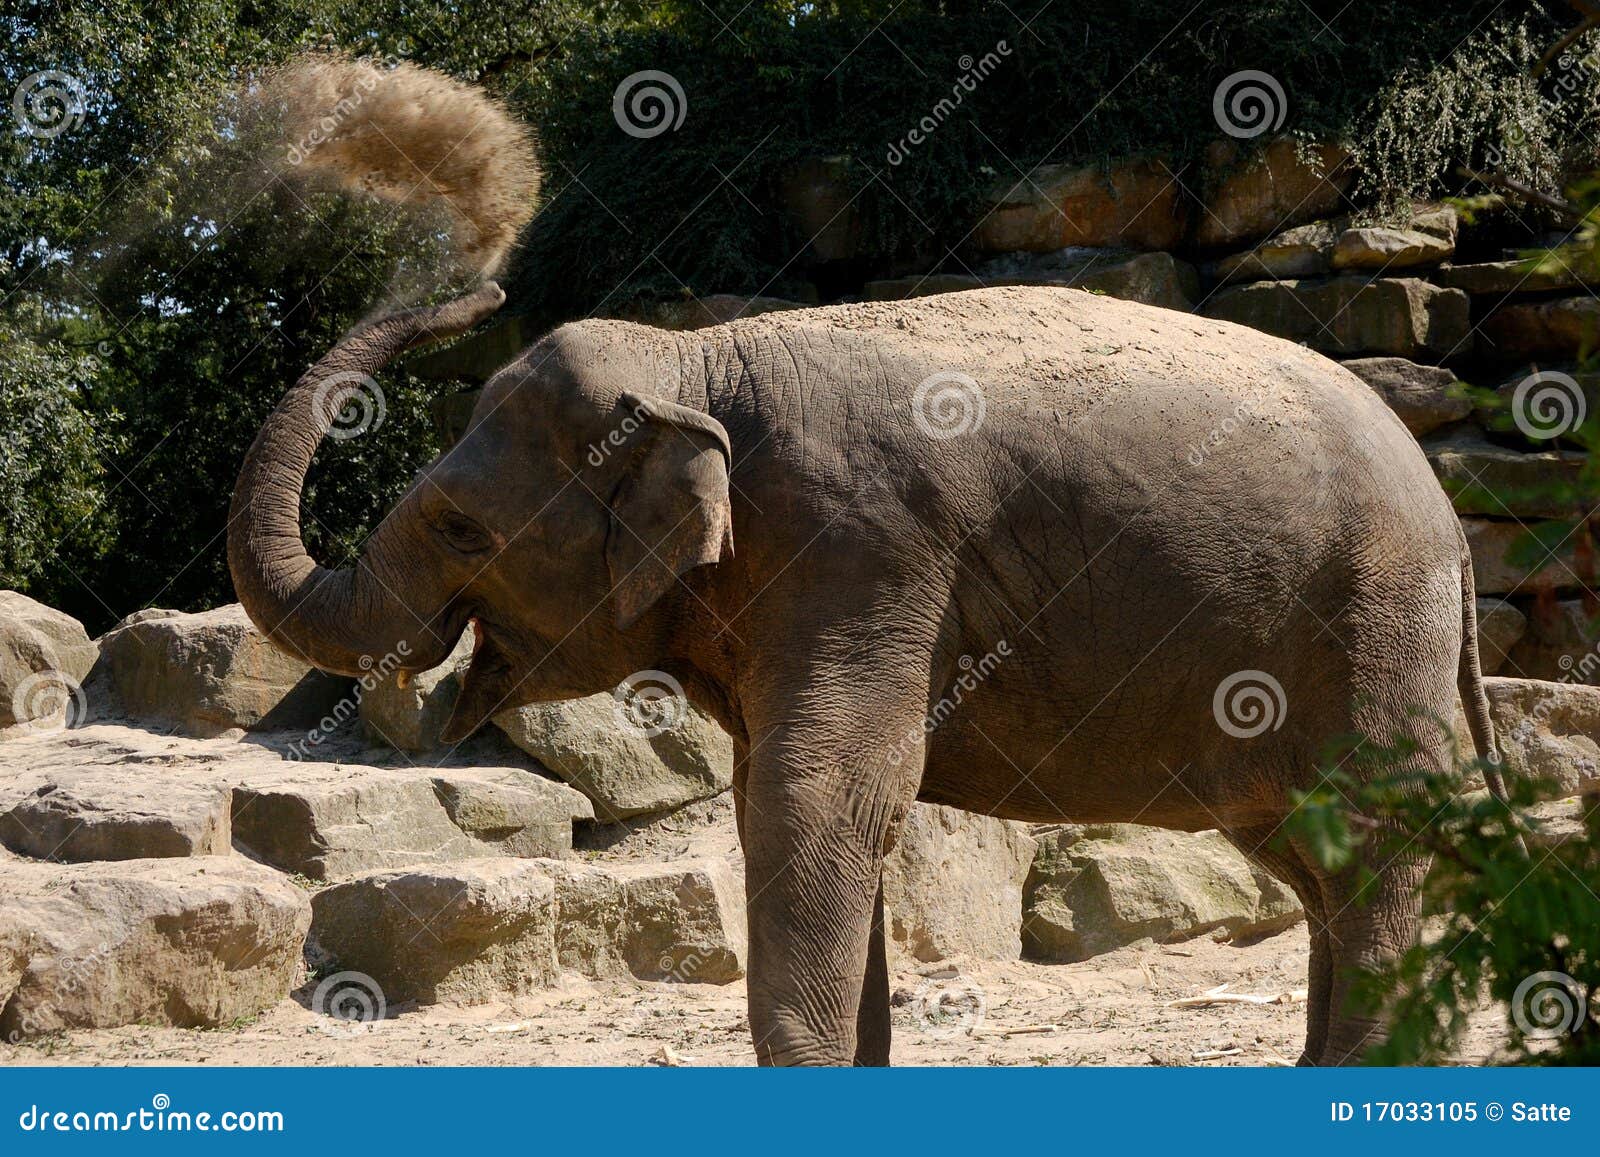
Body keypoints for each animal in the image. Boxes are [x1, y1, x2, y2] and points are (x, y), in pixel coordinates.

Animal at [229, 281, 1507, 1066]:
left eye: (460, 529)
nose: (483, 291)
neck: (697, 362)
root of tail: (1447, 515)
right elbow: (791, 797)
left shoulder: (863, 549)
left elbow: (826, 790)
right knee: (1309, 847)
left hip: (1370, 618)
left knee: (1374, 837)